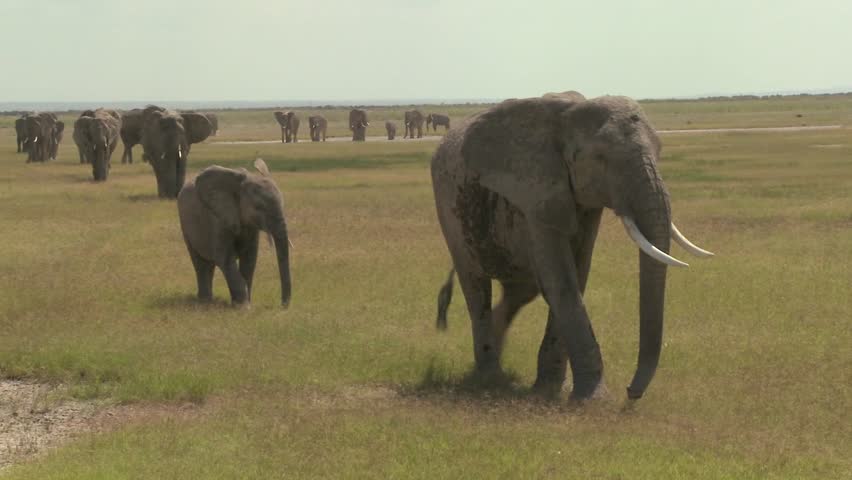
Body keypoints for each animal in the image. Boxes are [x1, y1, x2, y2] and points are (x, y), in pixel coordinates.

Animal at [177, 159, 292, 306]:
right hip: (186, 226)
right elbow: (225, 259)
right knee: (200, 263)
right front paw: (243, 307)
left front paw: (243, 303)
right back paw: (205, 300)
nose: (283, 306)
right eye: (259, 207)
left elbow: (249, 260)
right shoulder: (218, 220)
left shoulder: (251, 228)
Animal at [431, 94, 713, 401]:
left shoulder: (583, 202)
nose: (631, 394)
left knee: (521, 291)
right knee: (476, 287)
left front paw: (552, 388)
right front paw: (593, 399)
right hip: (449, 209)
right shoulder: (536, 190)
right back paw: (489, 378)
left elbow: (577, 273)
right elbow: (562, 282)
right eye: (601, 158)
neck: (568, 113)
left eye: (660, 149)